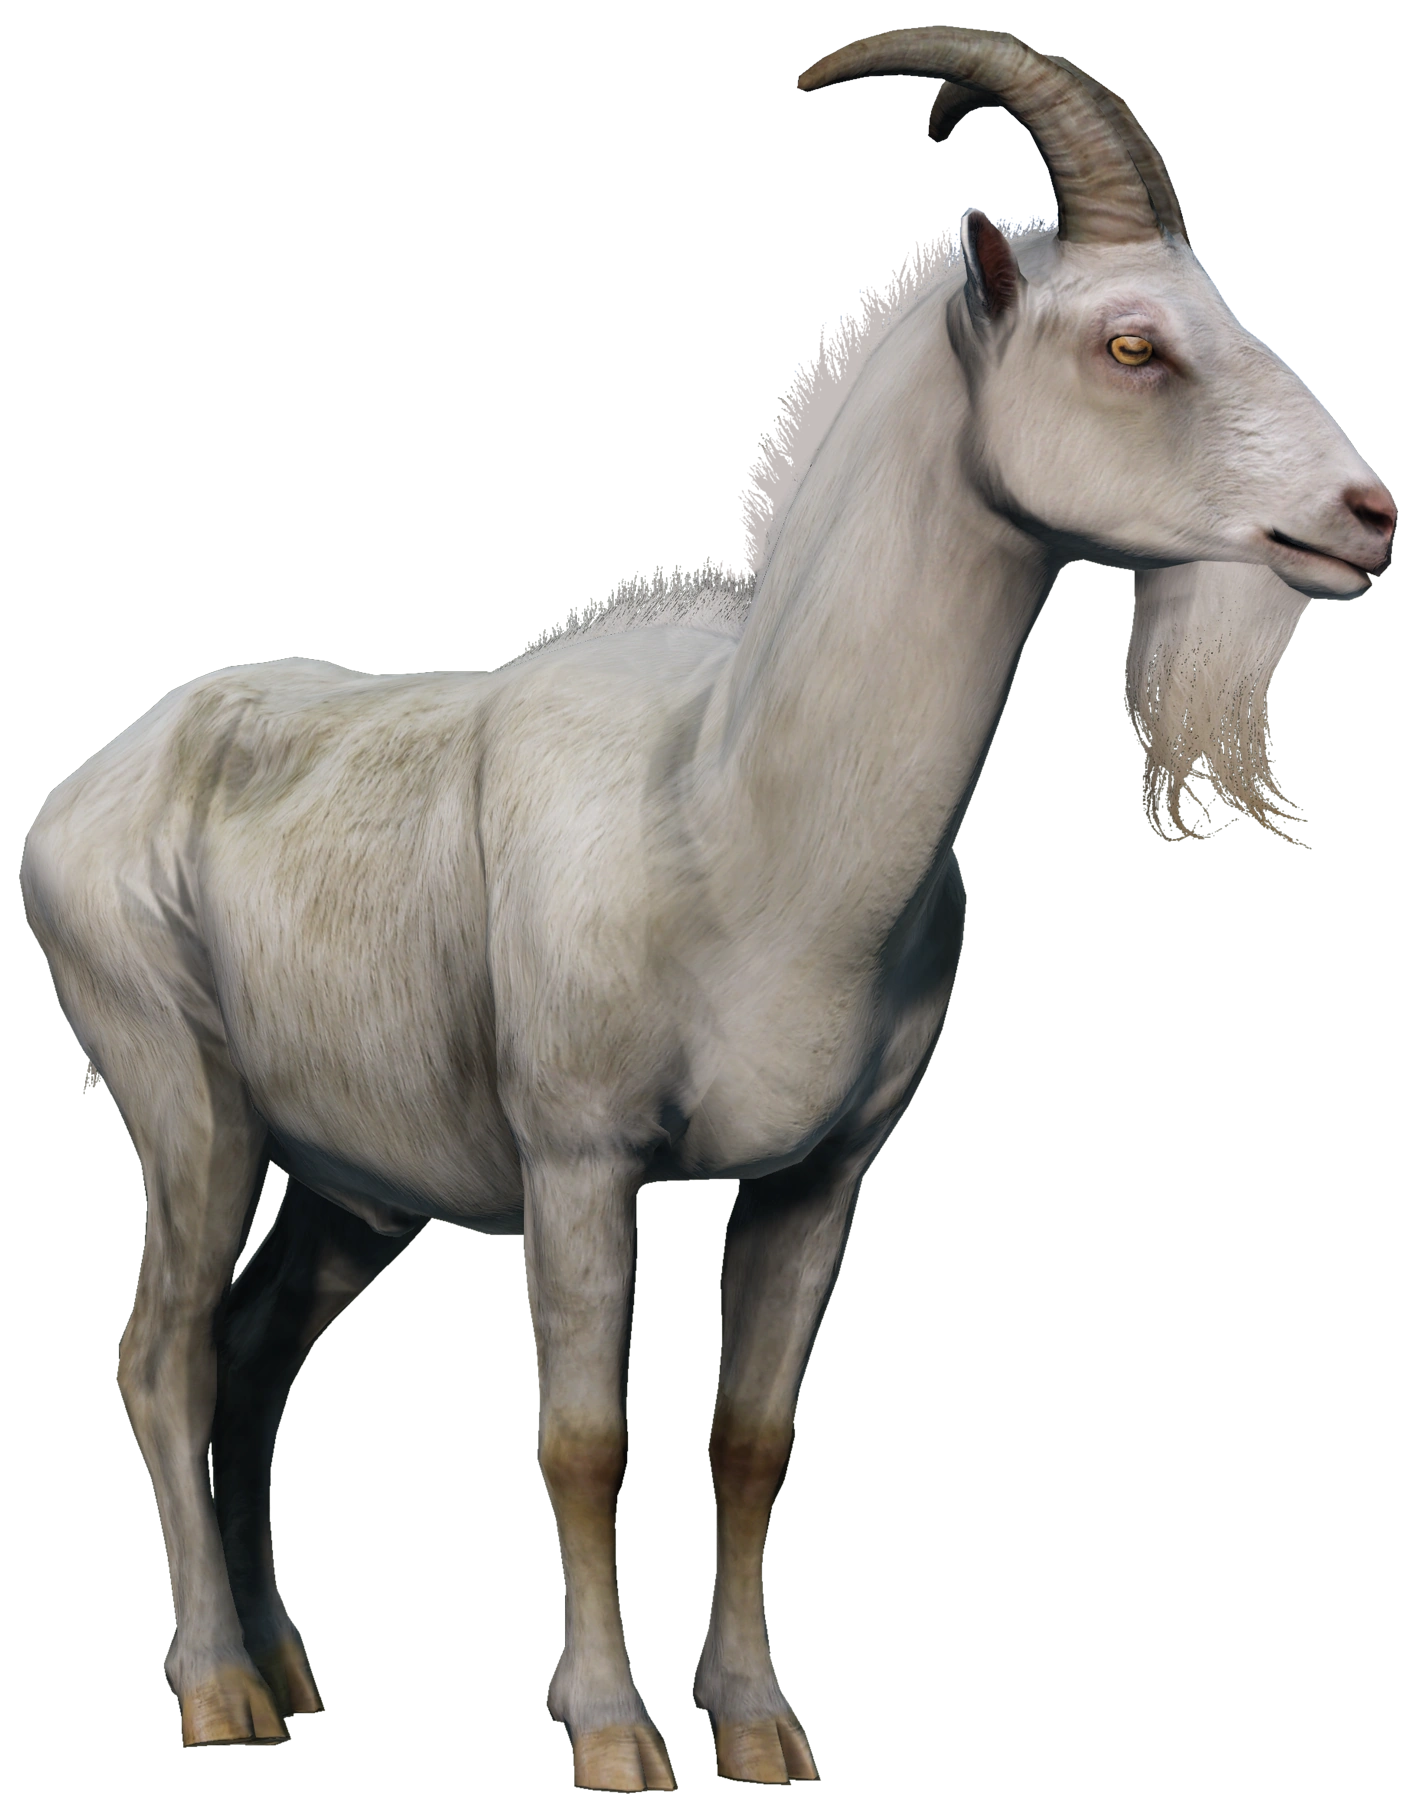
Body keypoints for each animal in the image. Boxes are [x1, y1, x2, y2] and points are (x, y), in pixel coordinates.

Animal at [20, 26, 1394, 1792]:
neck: (731, 822)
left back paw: (296, 1673)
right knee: (167, 1355)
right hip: (186, 1101)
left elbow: (755, 1438)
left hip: (354, 1182)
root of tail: (95, 784)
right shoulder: (579, 1157)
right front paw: (610, 1731)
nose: (1363, 520)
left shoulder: (820, 1175)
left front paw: (757, 1723)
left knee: (255, 1354)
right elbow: (581, 1438)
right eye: (1131, 342)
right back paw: (213, 1695)